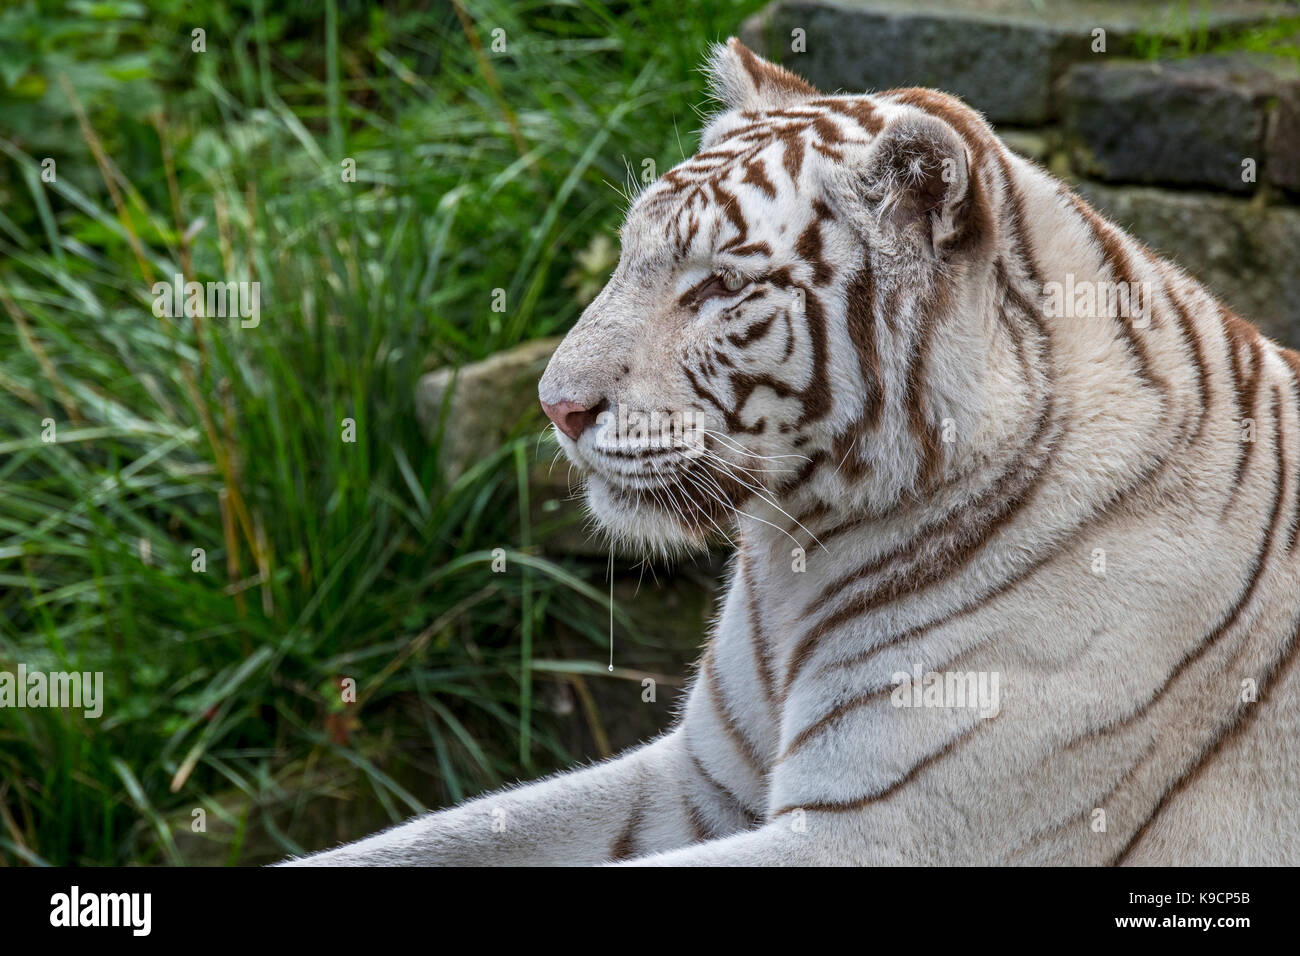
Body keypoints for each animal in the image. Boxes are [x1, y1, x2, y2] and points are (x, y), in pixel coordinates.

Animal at [294, 38, 1300, 866]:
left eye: (717, 288)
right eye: (627, 256)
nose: (556, 405)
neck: (798, 556)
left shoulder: (881, 833)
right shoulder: (699, 779)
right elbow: (429, 838)